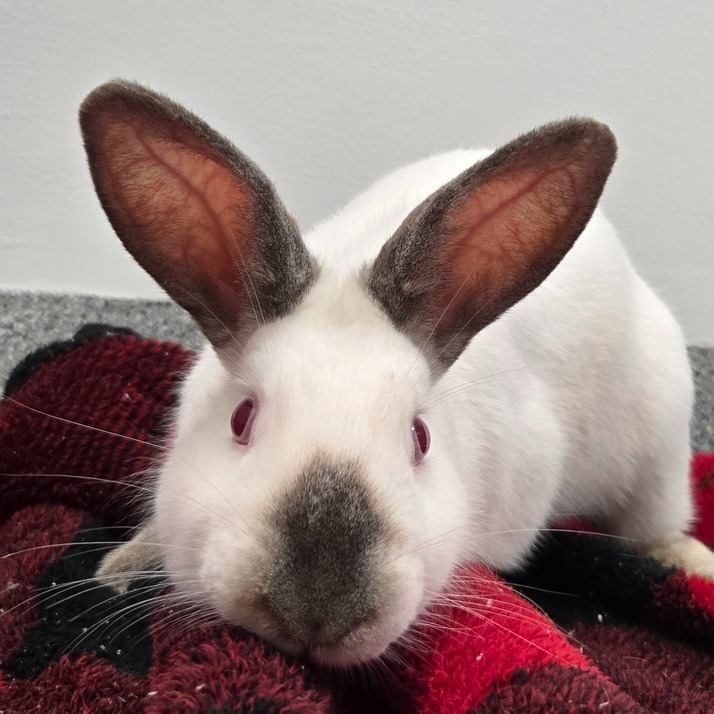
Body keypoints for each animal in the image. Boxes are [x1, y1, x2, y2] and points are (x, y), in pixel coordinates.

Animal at [82, 80, 714, 667]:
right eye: (241, 418)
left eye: (420, 438)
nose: (317, 610)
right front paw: (117, 570)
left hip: (659, 451)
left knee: (658, 524)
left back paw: (694, 564)